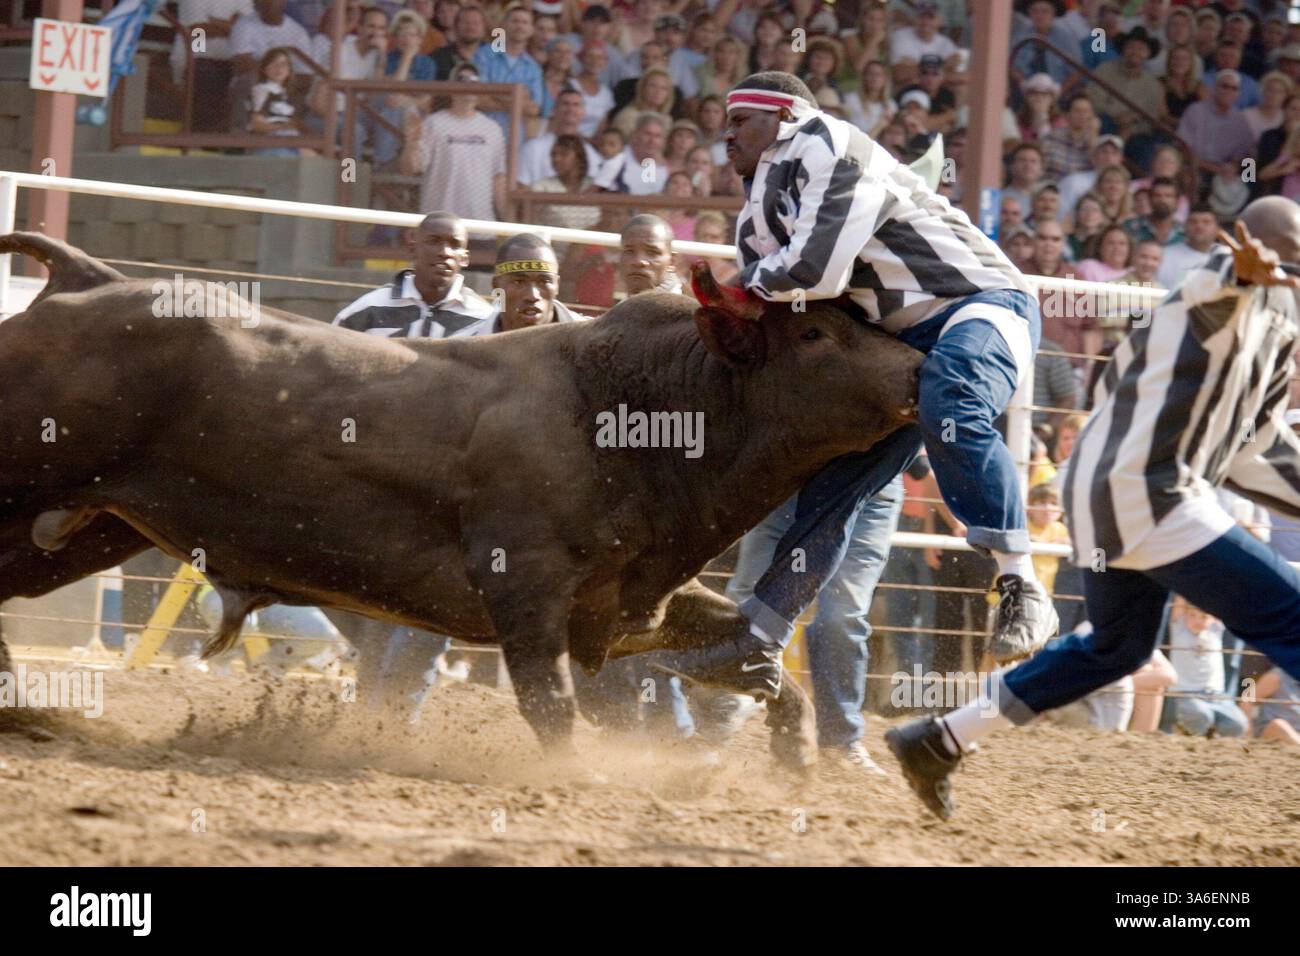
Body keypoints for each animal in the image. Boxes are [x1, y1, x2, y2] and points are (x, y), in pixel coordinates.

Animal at [0, 232, 922, 769]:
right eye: (814, 333)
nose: (919, 370)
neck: (626, 412)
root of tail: (83, 280)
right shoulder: (526, 591)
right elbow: (551, 706)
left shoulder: (635, 608)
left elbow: (749, 654)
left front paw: (796, 757)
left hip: (91, 529)